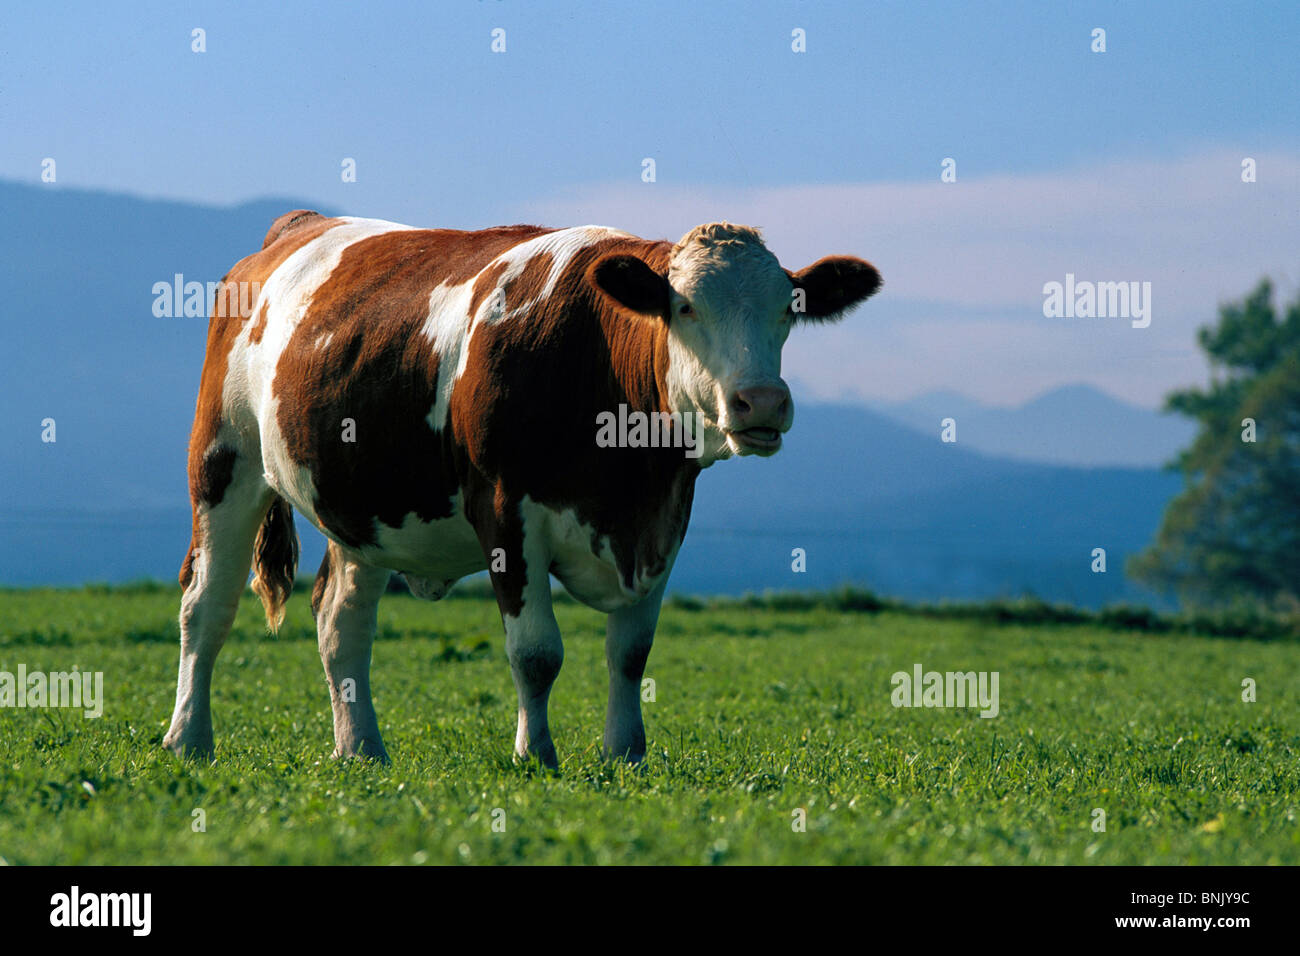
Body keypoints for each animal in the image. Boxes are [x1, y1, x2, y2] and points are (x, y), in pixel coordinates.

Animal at [163, 211, 880, 767]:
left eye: (788, 309)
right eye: (684, 307)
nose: (762, 402)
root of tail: (295, 227)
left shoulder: (664, 525)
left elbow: (630, 653)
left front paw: (625, 754)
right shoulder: (507, 511)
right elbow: (536, 653)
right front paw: (535, 754)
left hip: (363, 509)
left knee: (340, 619)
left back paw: (361, 748)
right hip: (224, 462)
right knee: (206, 603)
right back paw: (188, 739)